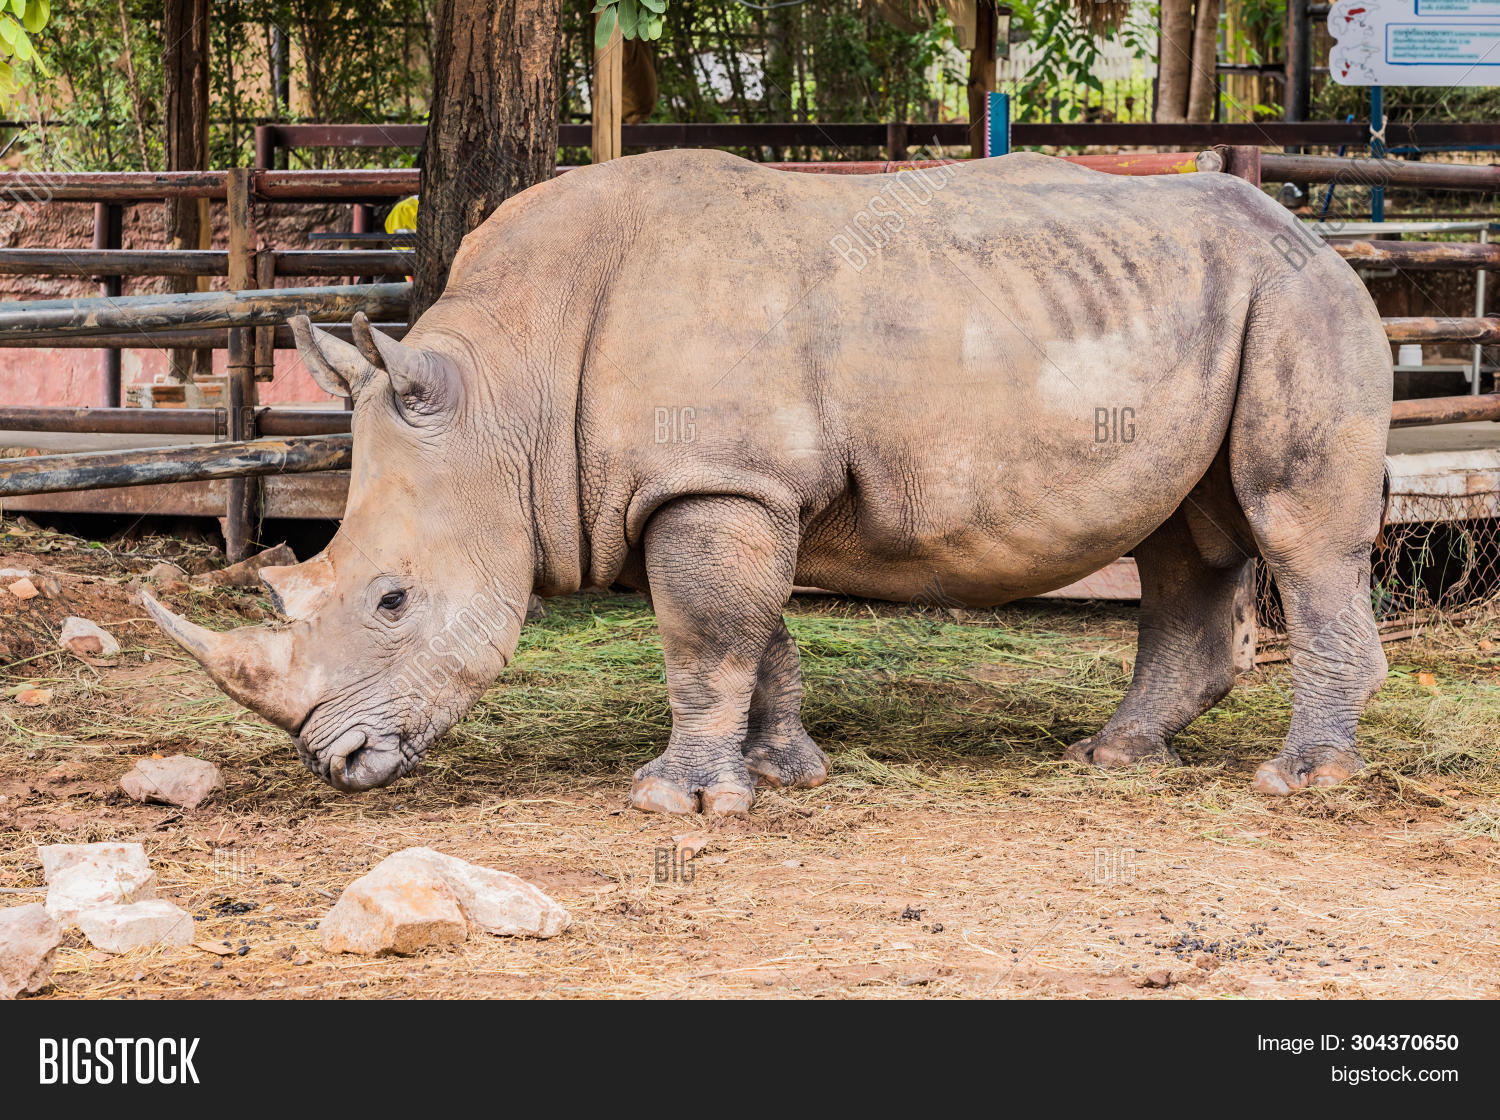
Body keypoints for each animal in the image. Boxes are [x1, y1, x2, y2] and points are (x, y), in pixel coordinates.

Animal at [144, 149, 1391, 812]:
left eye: (393, 599)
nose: (335, 760)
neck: (506, 393)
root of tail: (1318, 237)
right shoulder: (732, 480)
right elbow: (756, 631)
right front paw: (780, 772)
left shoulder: (719, 481)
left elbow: (703, 634)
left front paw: (677, 800)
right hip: (1226, 300)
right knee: (1185, 537)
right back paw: (1113, 755)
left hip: (1301, 298)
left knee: (1293, 529)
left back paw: (1300, 781)